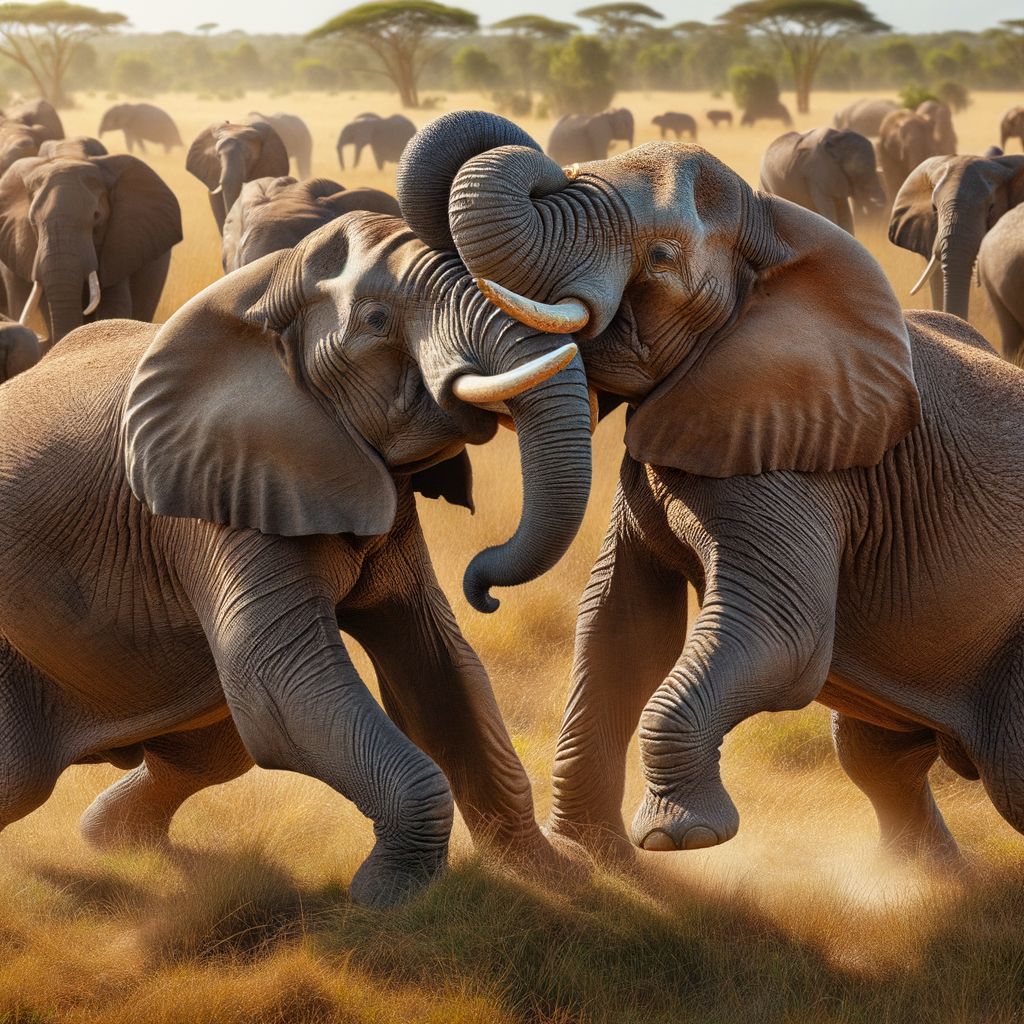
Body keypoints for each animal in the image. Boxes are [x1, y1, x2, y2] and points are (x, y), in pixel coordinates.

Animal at [0, 210, 593, 908]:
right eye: (376, 321)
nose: (485, 588)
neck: (272, 287)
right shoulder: (216, 500)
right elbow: (281, 685)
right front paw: (385, 899)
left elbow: (439, 667)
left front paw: (564, 875)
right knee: (25, 778)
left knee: (210, 752)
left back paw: (115, 846)